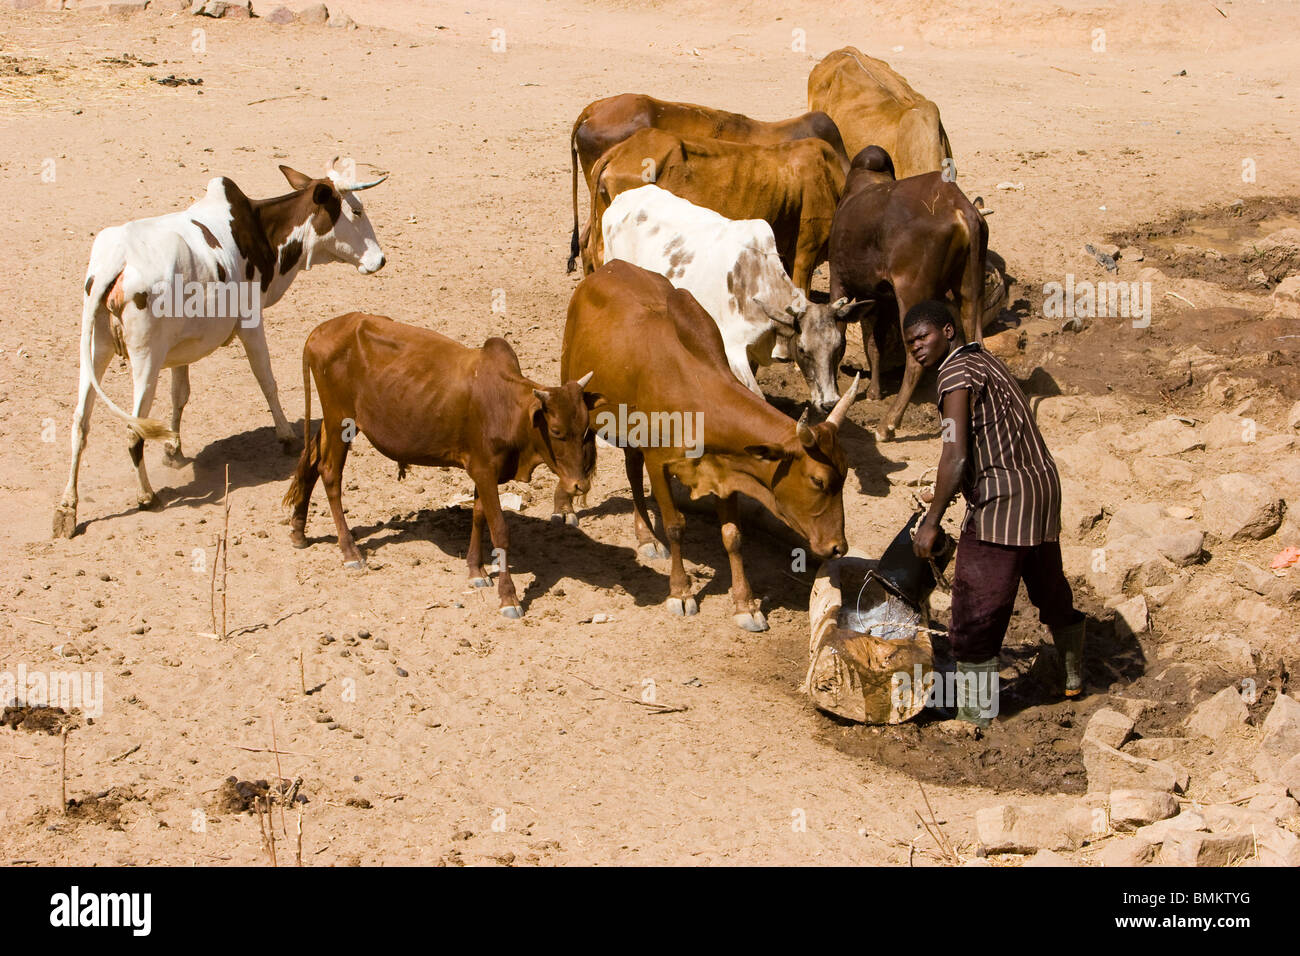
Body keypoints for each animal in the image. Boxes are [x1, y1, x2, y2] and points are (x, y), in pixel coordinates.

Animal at [52, 158, 388, 539]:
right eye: (357, 211)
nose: (380, 259)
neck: (258, 230)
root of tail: (116, 263)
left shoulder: (178, 350)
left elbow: (179, 395)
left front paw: (173, 449)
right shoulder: (251, 322)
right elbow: (266, 379)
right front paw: (287, 436)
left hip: (95, 351)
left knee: (80, 423)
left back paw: (68, 507)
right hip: (145, 359)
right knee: (133, 431)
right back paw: (146, 495)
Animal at [283, 312, 597, 619]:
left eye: (585, 427)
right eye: (556, 431)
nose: (579, 485)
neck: (507, 407)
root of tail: (321, 330)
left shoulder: (482, 470)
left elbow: (478, 516)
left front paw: (476, 571)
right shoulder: (484, 470)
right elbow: (499, 530)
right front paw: (508, 597)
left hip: (335, 421)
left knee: (310, 462)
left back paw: (299, 531)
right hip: (340, 420)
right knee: (330, 474)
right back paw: (349, 551)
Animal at [558, 260, 856, 632]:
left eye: (845, 476)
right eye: (818, 480)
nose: (838, 548)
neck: (695, 392)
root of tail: (606, 269)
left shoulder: (725, 469)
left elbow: (732, 535)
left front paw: (745, 604)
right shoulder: (659, 462)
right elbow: (675, 526)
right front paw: (681, 591)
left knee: (631, 469)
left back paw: (645, 536)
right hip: (571, 384)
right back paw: (566, 506)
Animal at [602, 184, 859, 413]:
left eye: (839, 346)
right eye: (803, 349)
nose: (830, 403)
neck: (760, 281)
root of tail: (620, 199)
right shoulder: (732, 349)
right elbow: (755, 395)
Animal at [829, 146, 990, 442]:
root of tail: (960, 207)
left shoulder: (840, 281)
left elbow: (842, 335)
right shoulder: (879, 297)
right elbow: (873, 343)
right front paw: (874, 391)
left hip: (912, 292)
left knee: (915, 362)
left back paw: (887, 425)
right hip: (970, 289)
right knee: (976, 341)